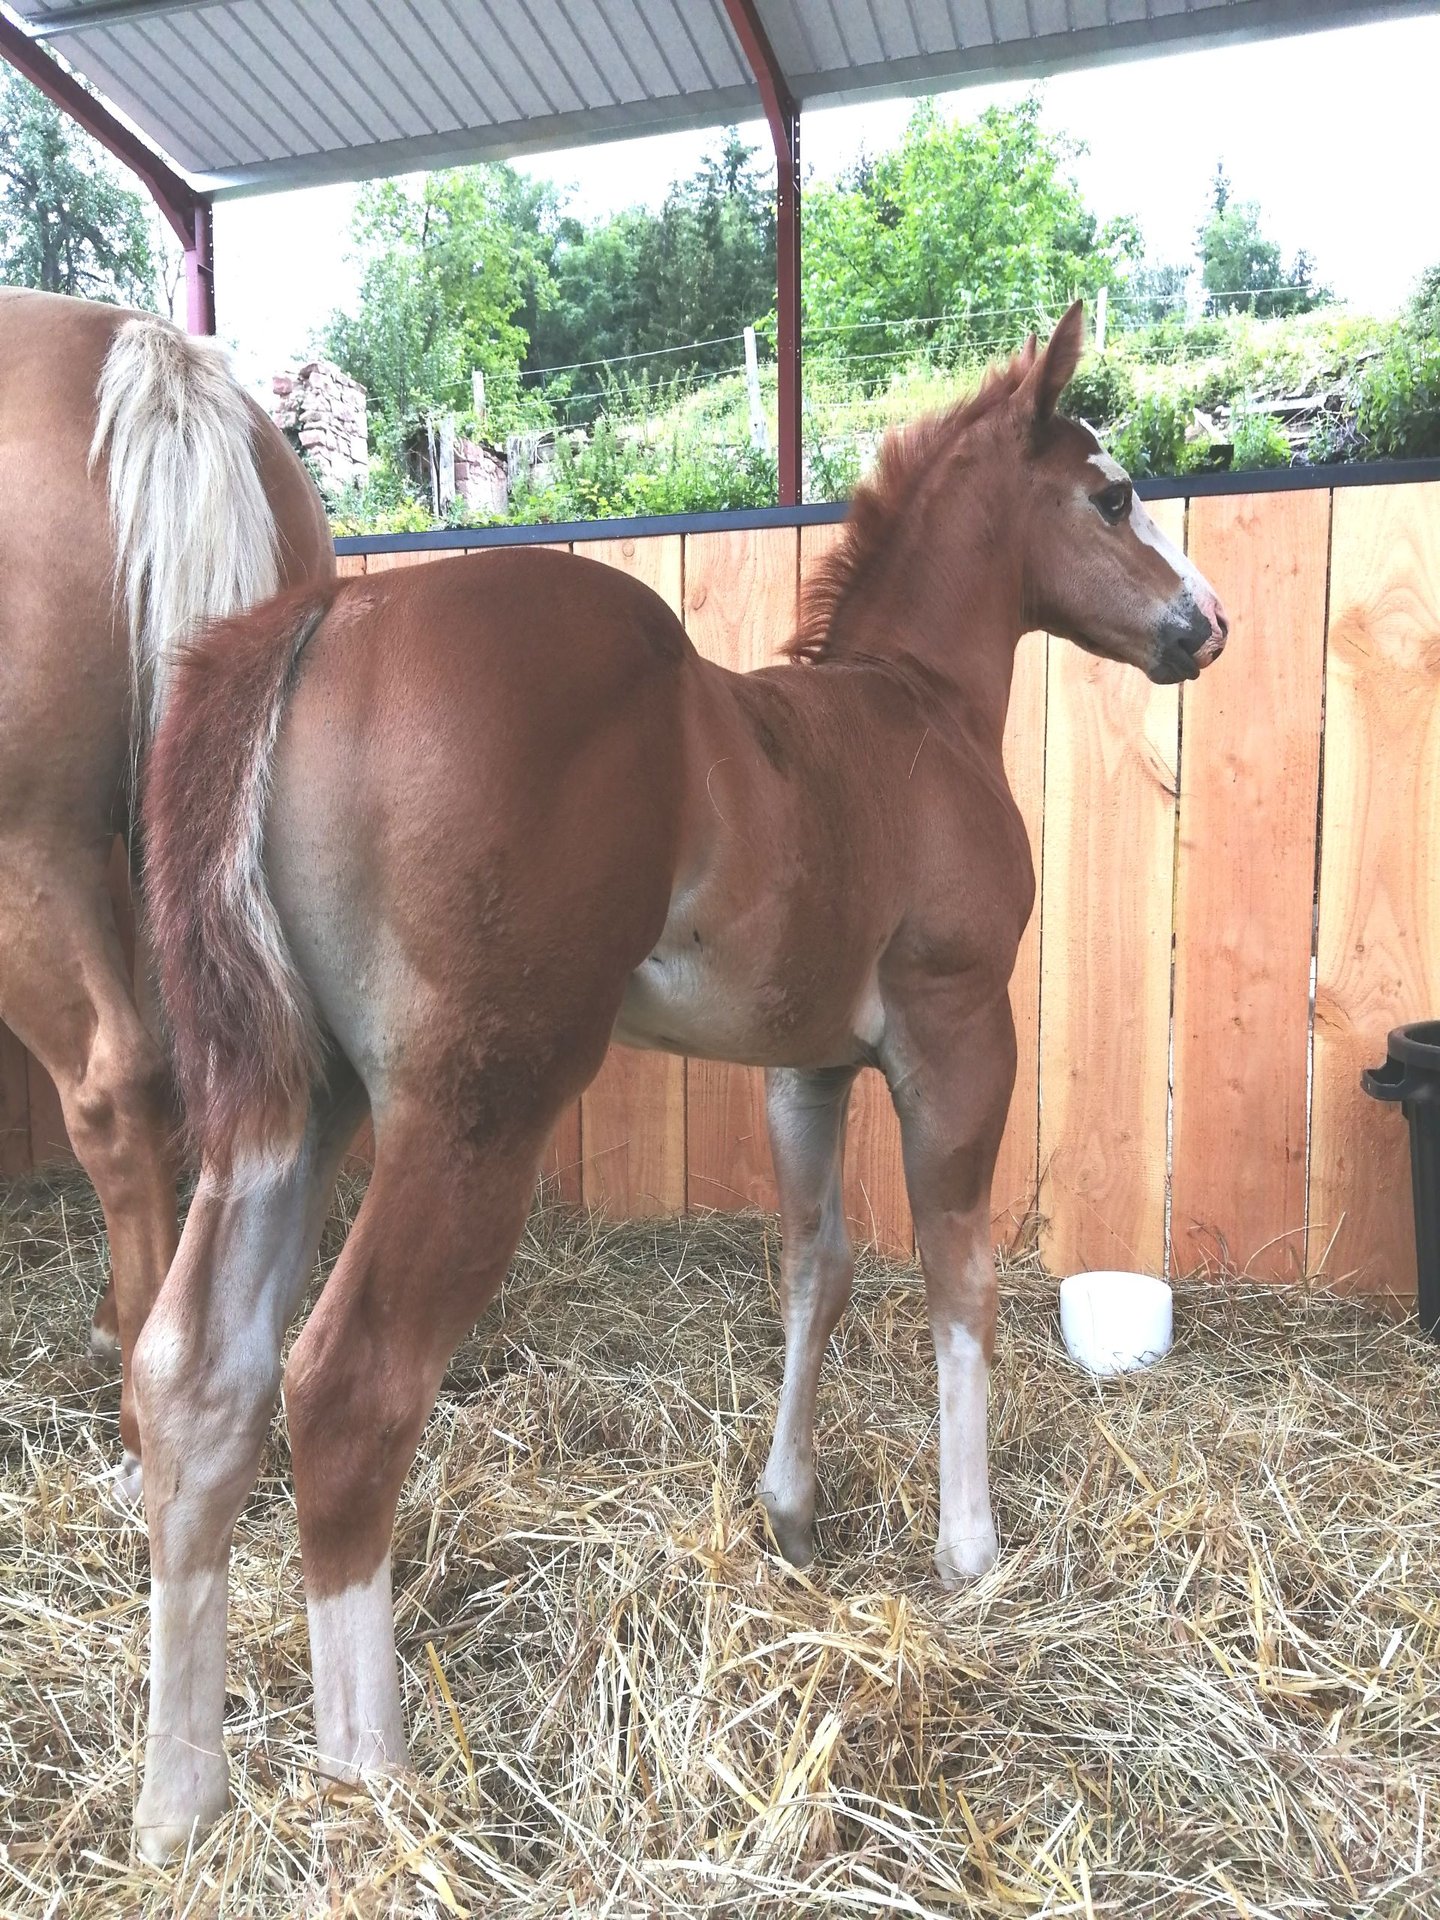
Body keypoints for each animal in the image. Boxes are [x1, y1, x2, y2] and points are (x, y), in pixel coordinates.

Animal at [134, 302, 1227, 1859]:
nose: (1204, 625)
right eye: (1116, 496)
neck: (916, 714)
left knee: (196, 1382)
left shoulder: (806, 1063)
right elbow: (957, 1272)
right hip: (474, 1109)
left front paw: (789, 1510)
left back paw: (180, 1806)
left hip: (299, 1104)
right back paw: (379, 1790)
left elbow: (815, 1268)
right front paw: (971, 1547)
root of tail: (328, 615)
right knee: (346, 1385)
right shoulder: (957, 1027)